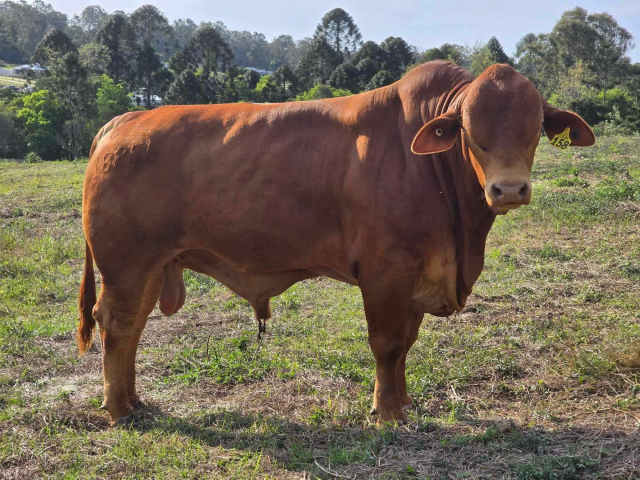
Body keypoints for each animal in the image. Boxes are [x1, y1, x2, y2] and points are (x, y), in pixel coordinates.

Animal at [78, 61, 594, 425]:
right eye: (471, 131)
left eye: (533, 127)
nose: (509, 189)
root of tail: (124, 121)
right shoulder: (385, 272)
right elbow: (387, 344)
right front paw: (387, 412)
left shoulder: (415, 276)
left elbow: (406, 343)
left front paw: (404, 403)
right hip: (127, 266)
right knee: (118, 326)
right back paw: (119, 409)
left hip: (149, 268)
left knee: (131, 329)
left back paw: (133, 401)